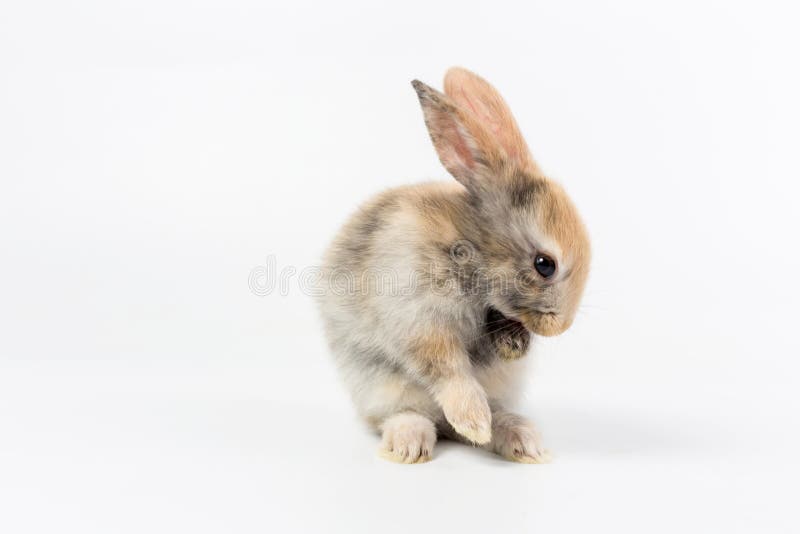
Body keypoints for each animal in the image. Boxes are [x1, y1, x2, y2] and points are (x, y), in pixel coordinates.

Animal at [316, 67, 590, 463]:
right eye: (545, 265)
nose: (561, 326)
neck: (471, 251)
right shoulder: (421, 323)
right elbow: (449, 370)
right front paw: (473, 420)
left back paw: (523, 442)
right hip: (381, 387)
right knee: (406, 416)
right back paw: (414, 443)